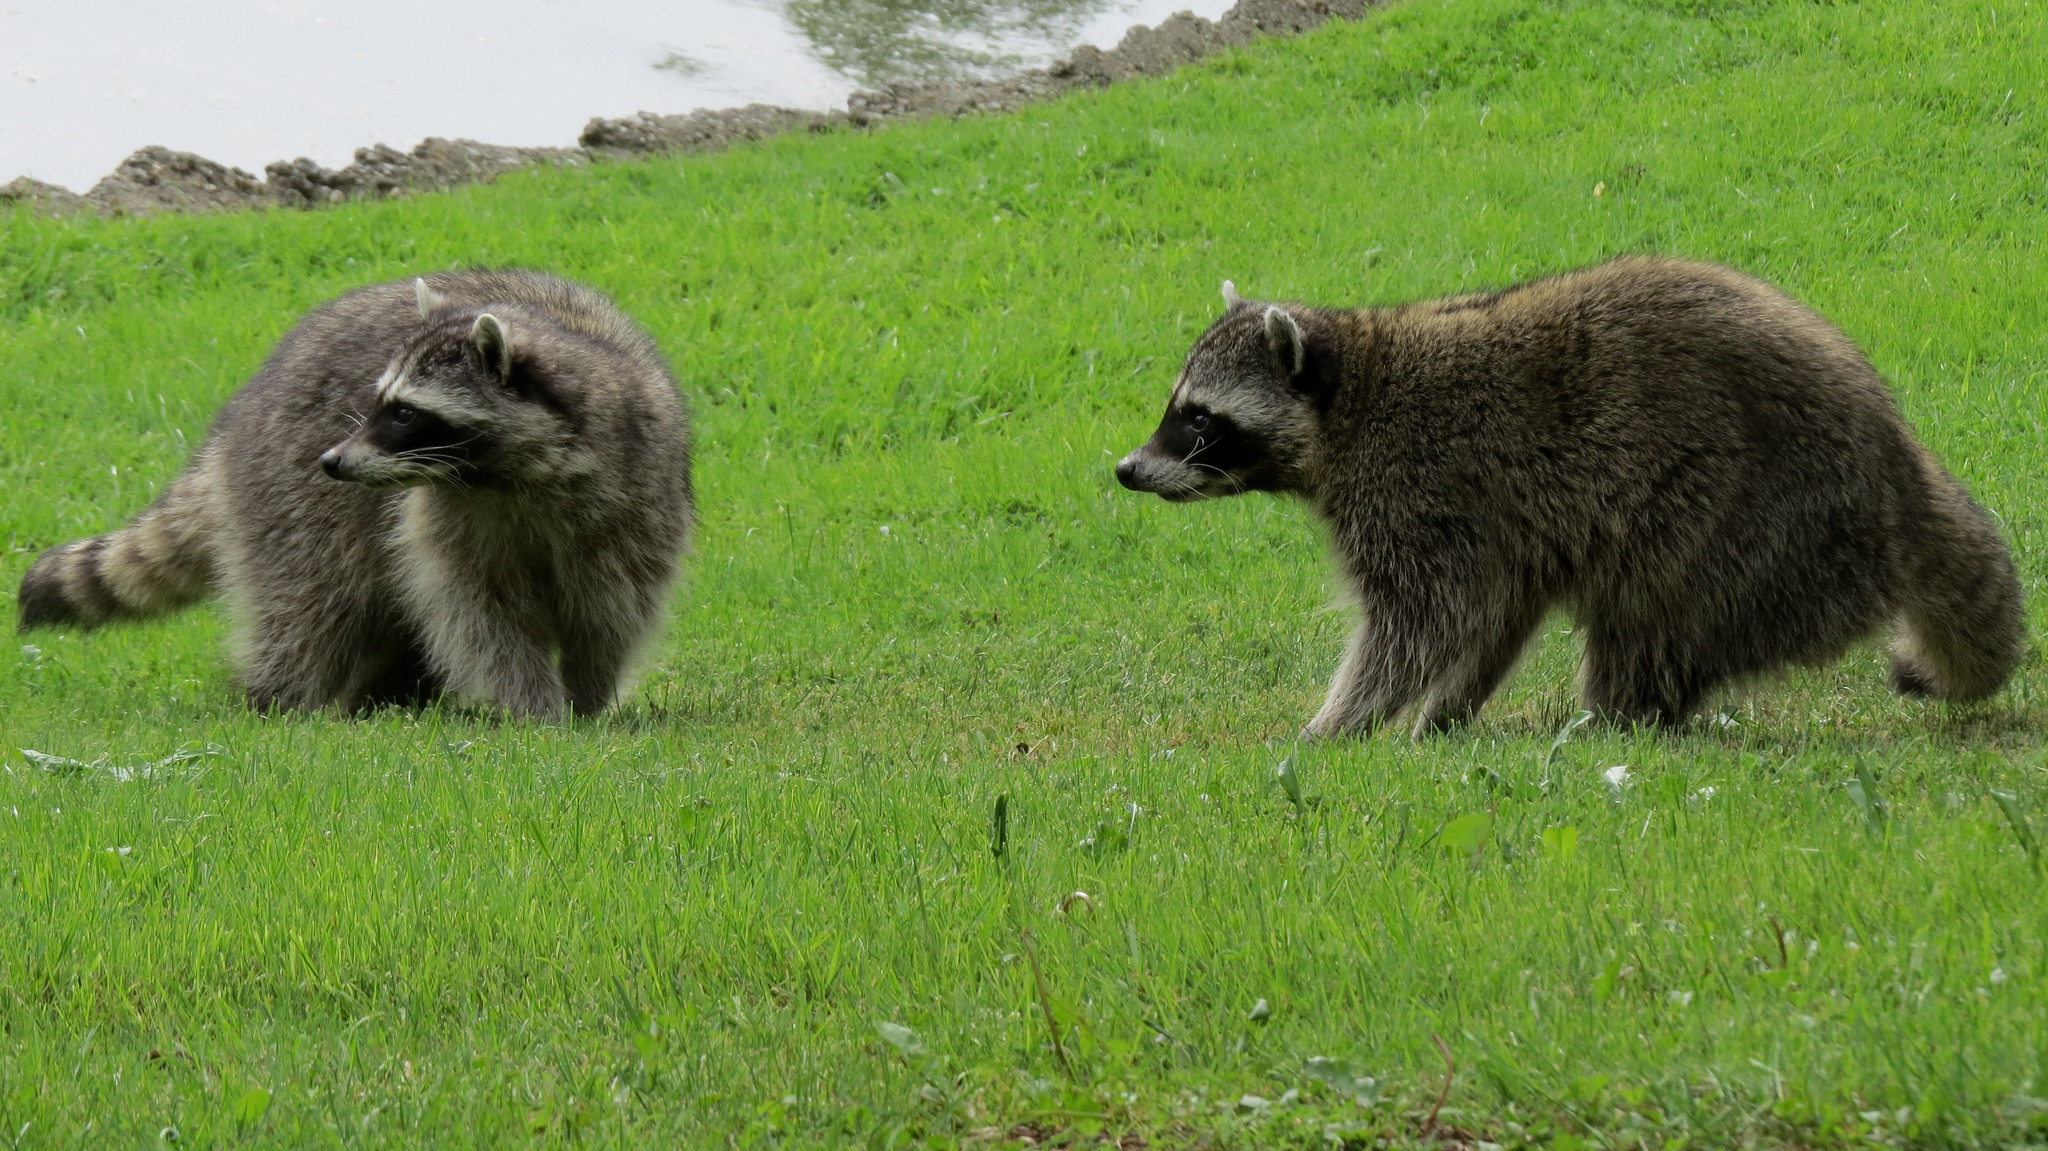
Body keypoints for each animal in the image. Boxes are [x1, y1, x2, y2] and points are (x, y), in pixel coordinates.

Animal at [18, 269, 693, 718]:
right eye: (376, 403)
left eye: (405, 413)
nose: (331, 461)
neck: (504, 477)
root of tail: (239, 415)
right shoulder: (442, 520)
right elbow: (481, 616)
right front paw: (532, 706)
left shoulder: (634, 495)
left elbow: (610, 607)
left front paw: (587, 696)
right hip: (288, 492)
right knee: (308, 604)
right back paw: (281, 697)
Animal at [1116, 257, 2024, 737]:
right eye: (1176, 408)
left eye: (1199, 419)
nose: (1126, 469)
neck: (1349, 397)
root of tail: (1897, 465)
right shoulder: (1495, 527)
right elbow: (1493, 618)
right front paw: (1444, 715)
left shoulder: (1416, 492)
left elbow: (1421, 624)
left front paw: (1338, 725)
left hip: (1751, 513)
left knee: (1651, 612)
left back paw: (1614, 719)